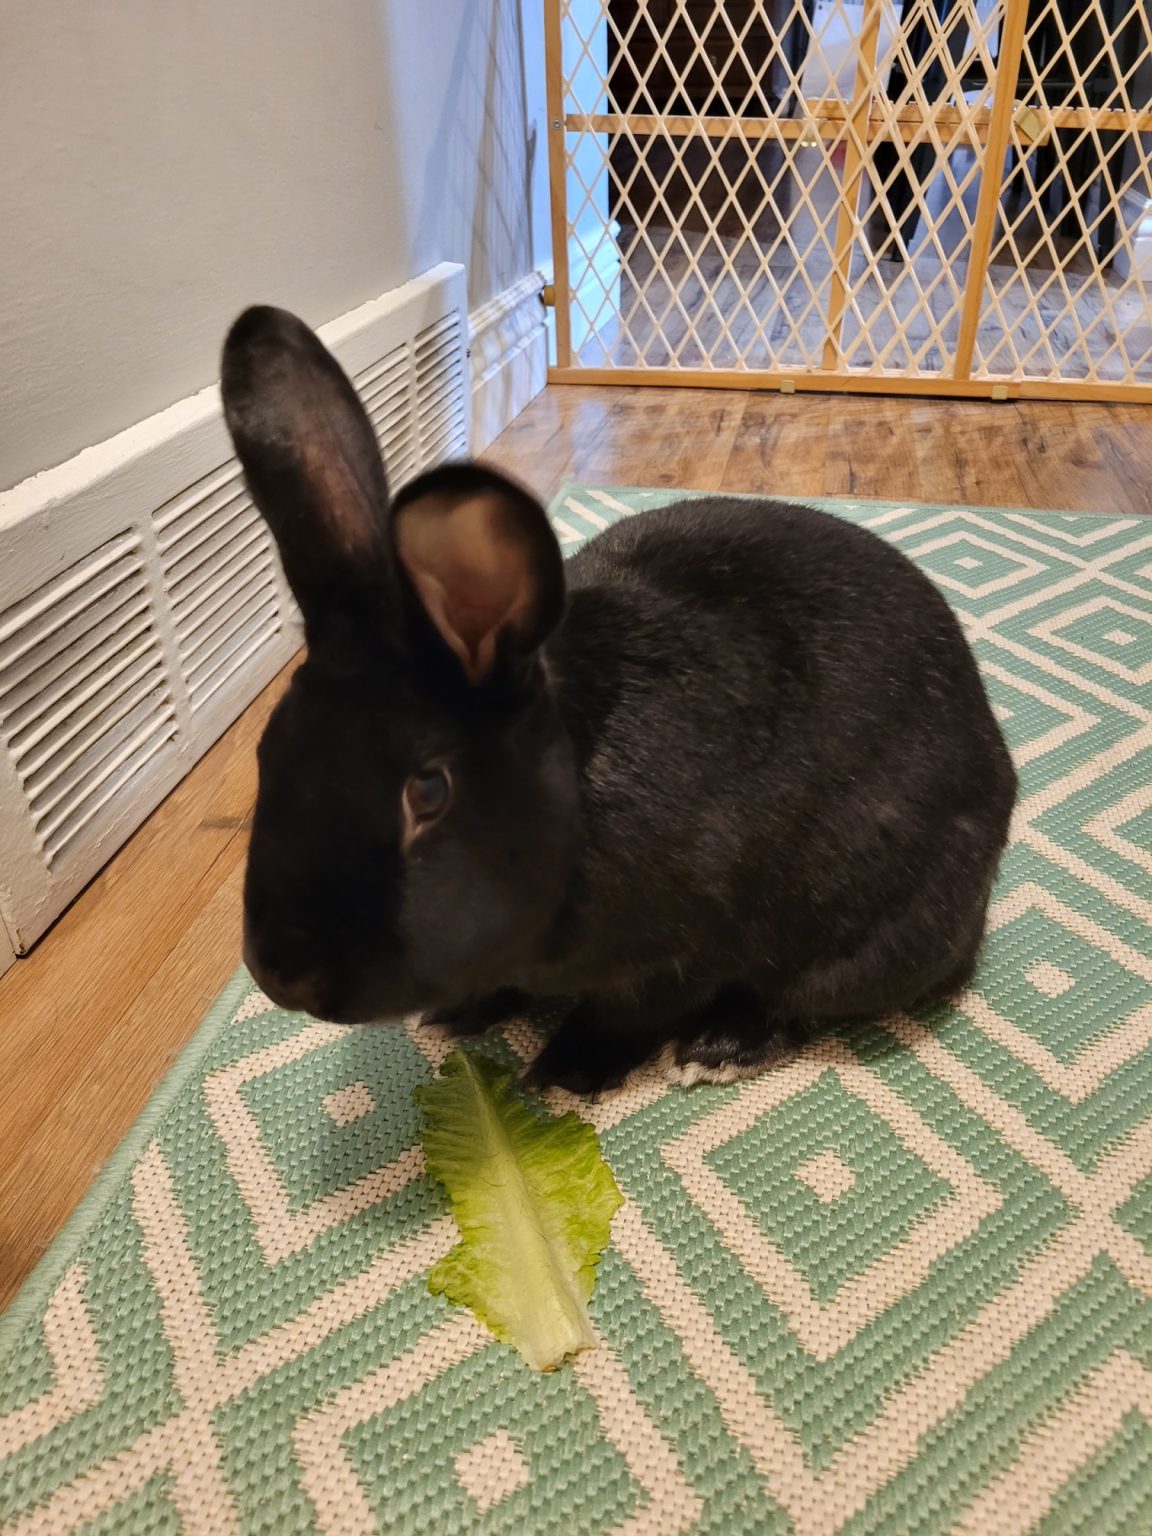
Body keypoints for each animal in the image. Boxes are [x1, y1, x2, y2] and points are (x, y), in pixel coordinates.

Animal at [220, 305, 1018, 1096]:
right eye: (268, 748)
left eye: (428, 792)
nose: (280, 977)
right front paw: (459, 1016)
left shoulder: (682, 952)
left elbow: (626, 1017)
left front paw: (561, 1074)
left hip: (874, 938)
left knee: (798, 1000)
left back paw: (721, 1046)